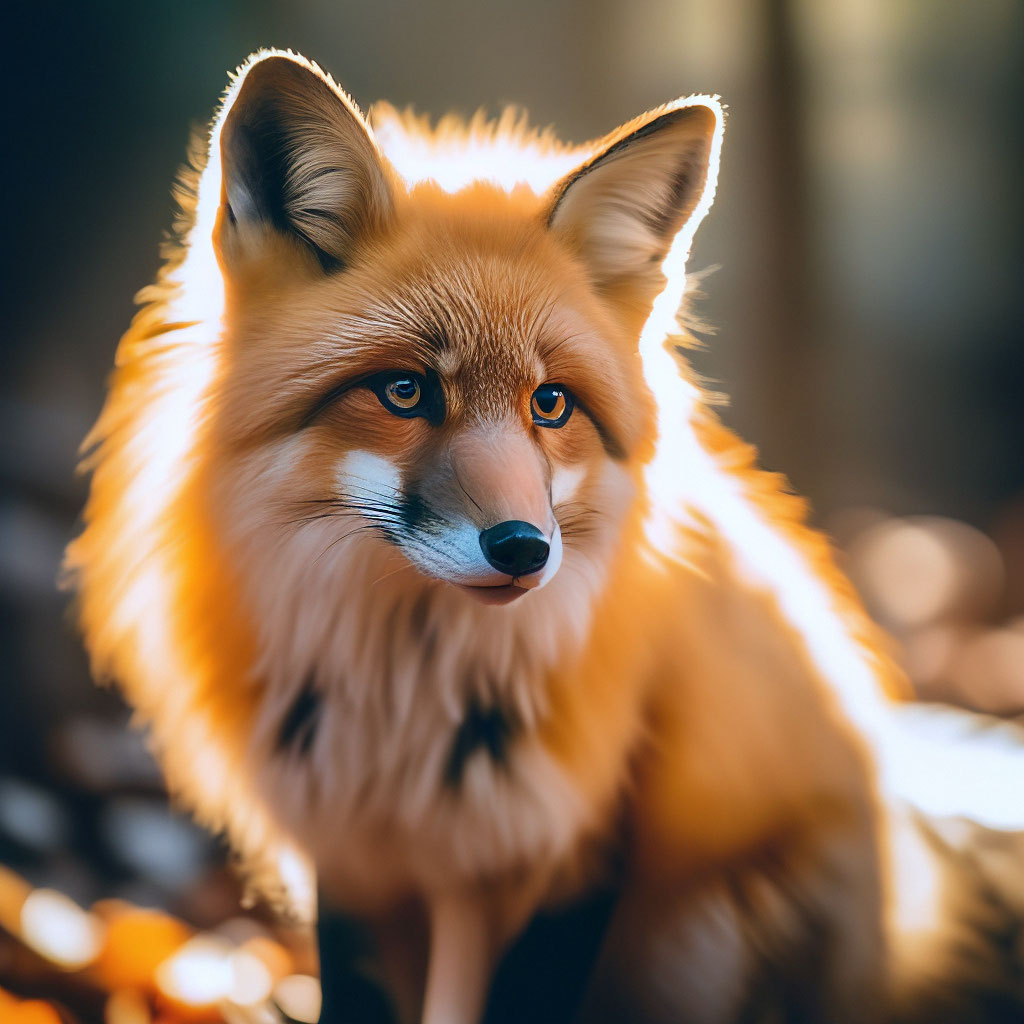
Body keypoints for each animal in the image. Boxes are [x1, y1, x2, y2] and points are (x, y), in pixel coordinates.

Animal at [65, 49, 1024, 1024]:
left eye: (551, 403)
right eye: (406, 391)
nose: (525, 549)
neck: (403, 704)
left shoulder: (571, 854)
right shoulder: (361, 859)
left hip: (717, 937)